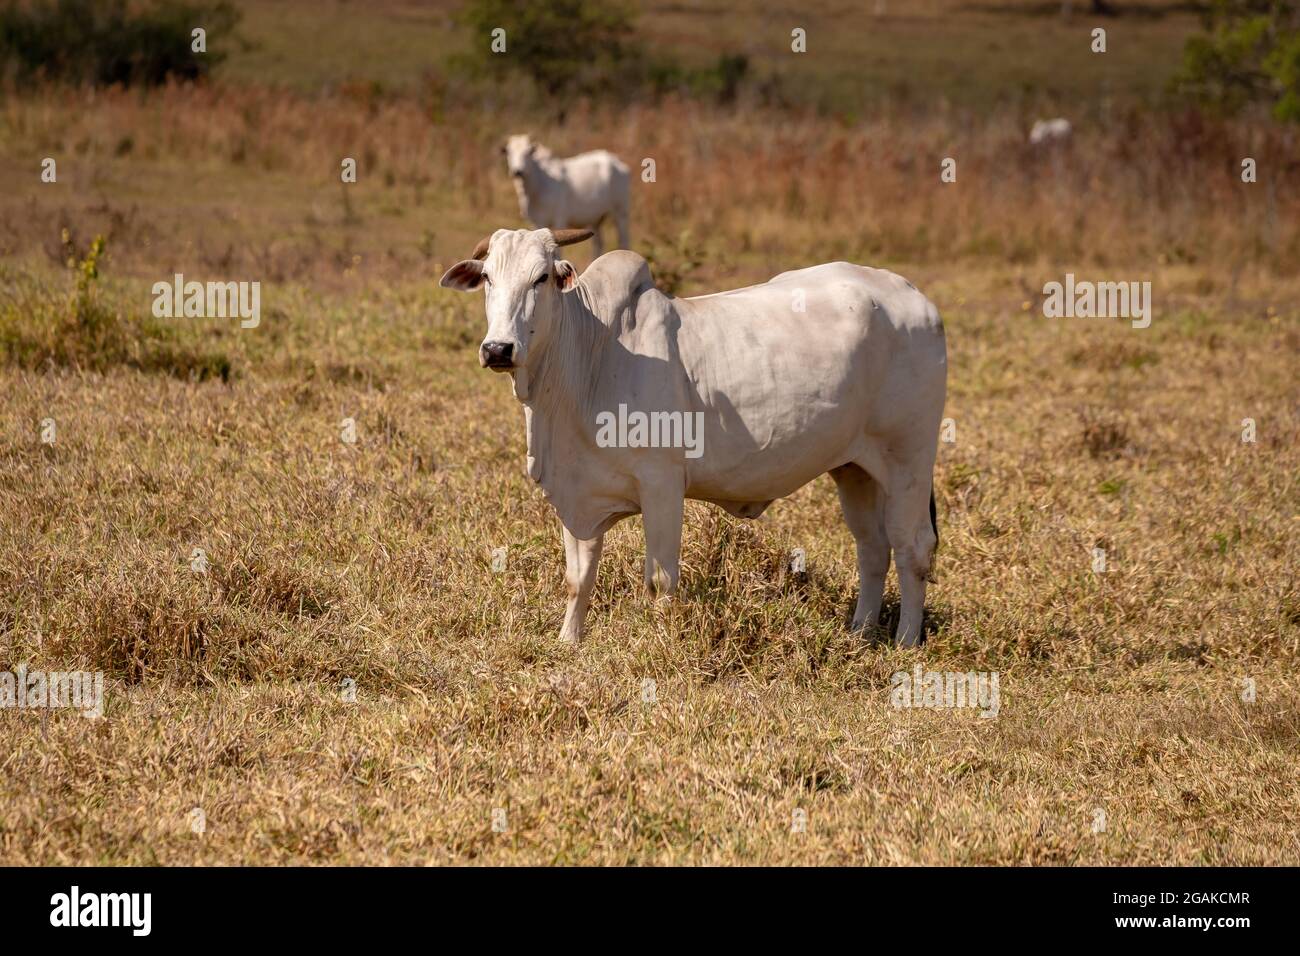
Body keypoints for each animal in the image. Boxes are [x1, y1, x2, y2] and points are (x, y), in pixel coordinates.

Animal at [440, 228, 947, 647]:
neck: (590, 356)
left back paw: (905, 642)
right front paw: (569, 641)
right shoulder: (576, 492)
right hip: (853, 468)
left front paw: (659, 645)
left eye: (541, 277)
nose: (498, 349)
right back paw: (859, 634)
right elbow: (578, 577)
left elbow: (661, 579)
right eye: (488, 278)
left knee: (912, 547)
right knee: (872, 547)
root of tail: (916, 298)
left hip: (909, 459)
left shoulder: (662, 483)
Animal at [501, 135, 630, 257]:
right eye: (509, 152)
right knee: (598, 242)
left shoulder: (560, 220)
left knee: (623, 241)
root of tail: (616, 162)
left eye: (528, 152)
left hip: (621, 211)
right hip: (596, 219)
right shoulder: (536, 222)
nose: (518, 171)